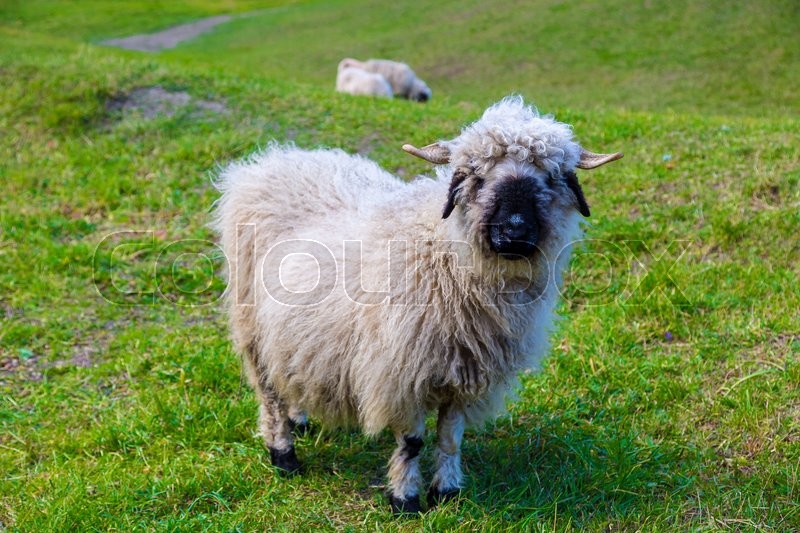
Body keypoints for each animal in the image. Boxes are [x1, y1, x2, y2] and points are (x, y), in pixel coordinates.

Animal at [212, 96, 622, 514]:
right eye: (475, 176)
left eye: (552, 178)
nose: (515, 232)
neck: (444, 250)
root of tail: (272, 159)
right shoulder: (404, 372)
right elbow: (411, 443)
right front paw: (405, 498)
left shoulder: (465, 373)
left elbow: (450, 439)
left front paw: (447, 492)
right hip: (252, 326)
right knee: (269, 395)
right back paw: (283, 454)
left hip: (296, 337)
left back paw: (300, 418)